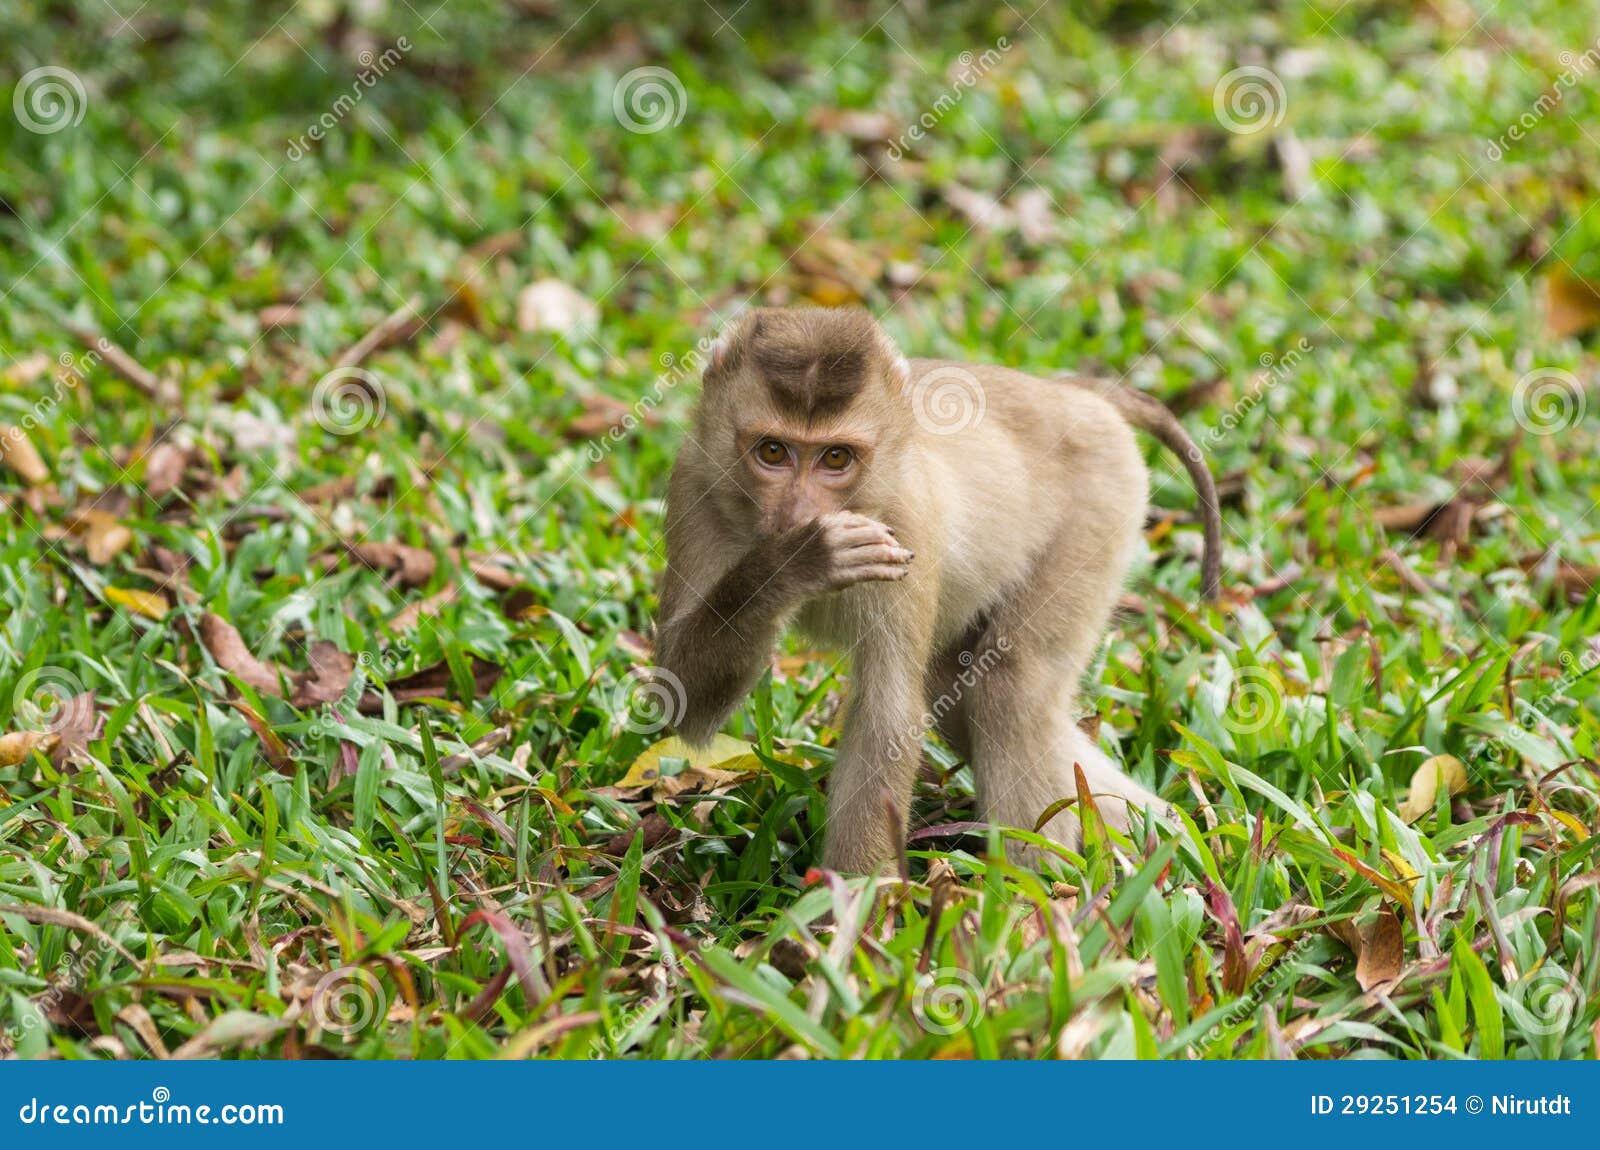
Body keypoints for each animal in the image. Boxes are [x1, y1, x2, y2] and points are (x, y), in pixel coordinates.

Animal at [652, 306, 1222, 874]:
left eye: (836, 459)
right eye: (772, 451)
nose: (798, 518)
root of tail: (1065, 393)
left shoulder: (909, 516)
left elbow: (887, 716)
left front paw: (850, 897)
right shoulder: (695, 481)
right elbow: (680, 694)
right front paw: (796, 562)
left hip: (1102, 500)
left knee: (1011, 682)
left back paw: (1052, 882)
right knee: (965, 687)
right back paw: (1165, 831)